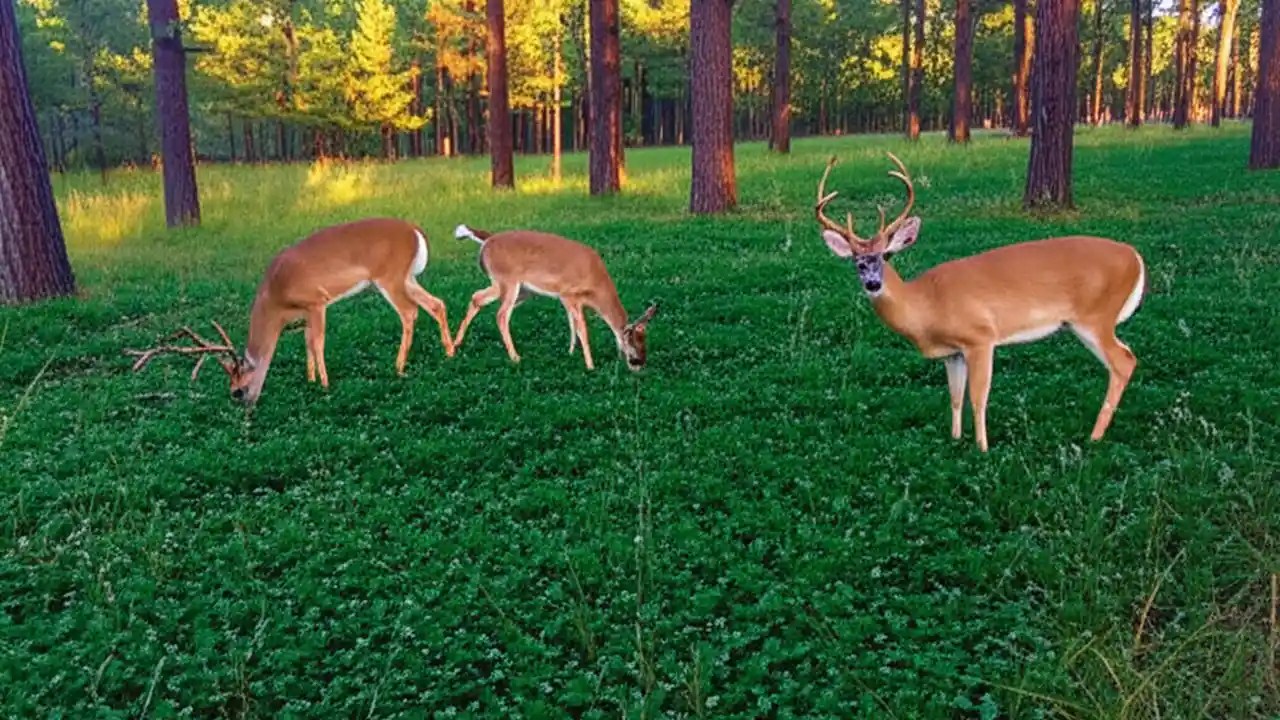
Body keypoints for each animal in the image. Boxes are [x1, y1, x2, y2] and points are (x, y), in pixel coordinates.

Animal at [124, 217, 454, 406]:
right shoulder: (304, 312)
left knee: (409, 312)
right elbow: (307, 342)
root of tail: (416, 231)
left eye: (237, 390)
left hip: (389, 276)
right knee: (437, 303)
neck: (275, 297)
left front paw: (325, 385)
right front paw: (310, 380)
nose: (247, 407)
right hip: (406, 277)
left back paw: (398, 367)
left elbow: (317, 342)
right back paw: (449, 352)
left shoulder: (316, 301)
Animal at [450, 224, 658, 371]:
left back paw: (454, 345)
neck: (596, 286)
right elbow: (582, 328)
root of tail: (487, 240)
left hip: (518, 289)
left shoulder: (569, 299)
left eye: (645, 341)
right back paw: (515, 357)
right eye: (635, 342)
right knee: (500, 314)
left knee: (477, 297)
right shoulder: (568, 293)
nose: (640, 364)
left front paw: (571, 352)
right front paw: (590, 365)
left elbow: (572, 324)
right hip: (508, 280)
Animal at [815, 154, 1146, 452]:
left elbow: (978, 396)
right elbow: (955, 396)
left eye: (886, 255)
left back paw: (1094, 437)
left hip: (1095, 317)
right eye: (857, 262)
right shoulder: (953, 353)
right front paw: (955, 438)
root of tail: (1135, 257)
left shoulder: (981, 337)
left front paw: (982, 447)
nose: (873, 283)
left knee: (1124, 361)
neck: (925, 304)